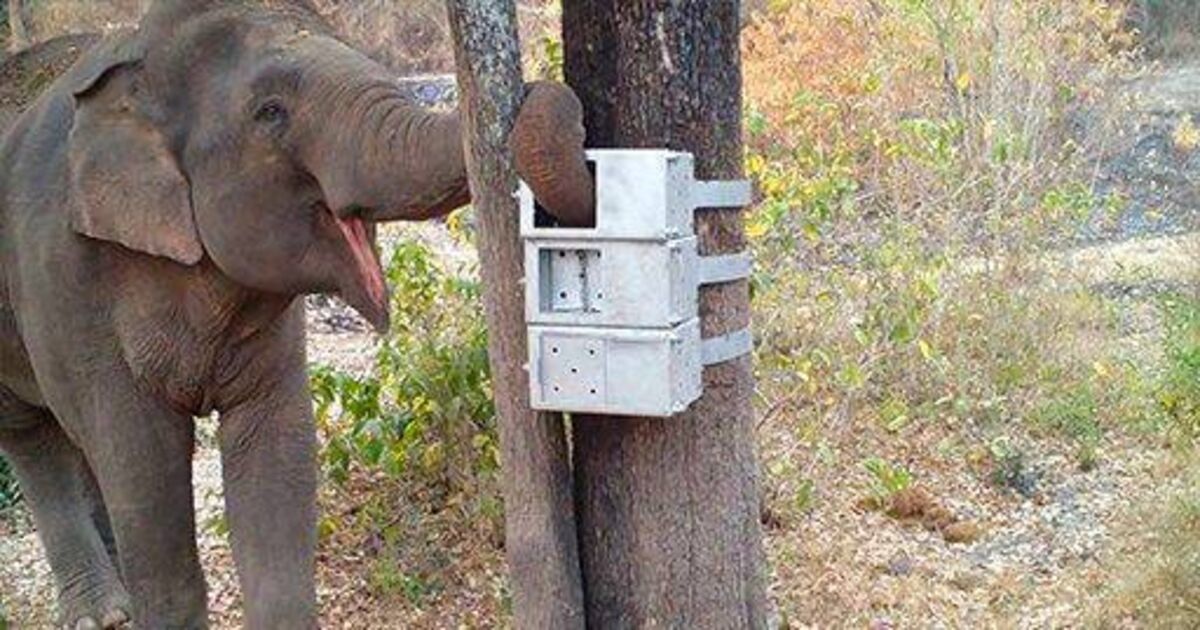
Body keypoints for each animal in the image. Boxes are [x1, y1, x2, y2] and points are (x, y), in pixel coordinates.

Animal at [0, 1, 594, 628]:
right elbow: (141, 466)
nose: (532, 87)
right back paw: (103, 613)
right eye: (270, 112)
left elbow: (277, 455)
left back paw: (114, 609)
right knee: (34, 438)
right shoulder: (66, 283)